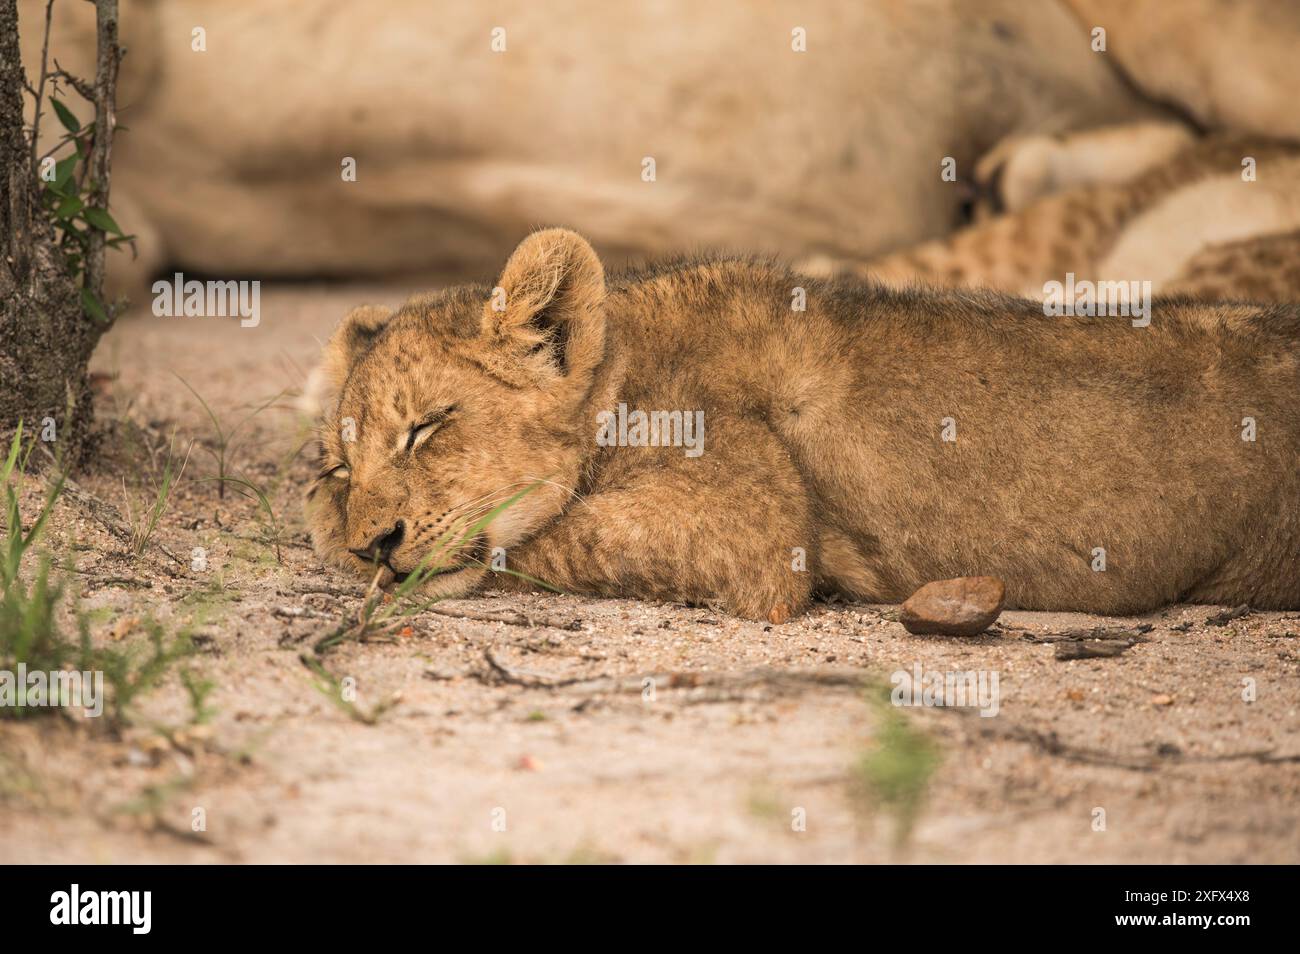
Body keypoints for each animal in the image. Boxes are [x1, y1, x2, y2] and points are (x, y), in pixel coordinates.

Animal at [306, 228, 1300, 621]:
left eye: (428, 427)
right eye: (340, 468)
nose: (370, 543)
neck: (629, 369)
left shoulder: (756, 526)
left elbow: (551, 534)